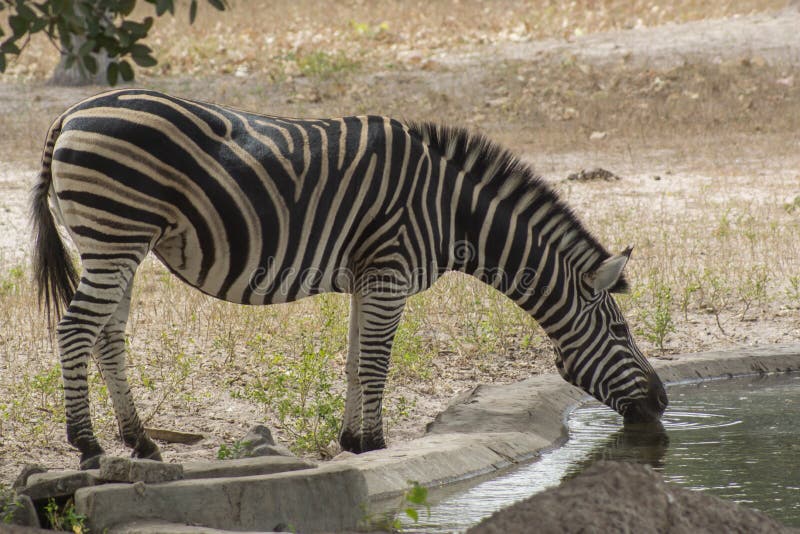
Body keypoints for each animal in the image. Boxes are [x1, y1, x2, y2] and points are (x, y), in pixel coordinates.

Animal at [31, 89, 667, 469]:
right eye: (620, 332)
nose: (663, 403)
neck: (452, 210)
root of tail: (71, 113)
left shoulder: (370, 278)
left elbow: (356, 361)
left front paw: (354, 443)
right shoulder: (390, 271)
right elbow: (376, 363)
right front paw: (379, 445)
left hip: (113, 244)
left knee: (107, 336)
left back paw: (139, 442)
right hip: (115, 235)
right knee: (75, 331)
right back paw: (87, 445)